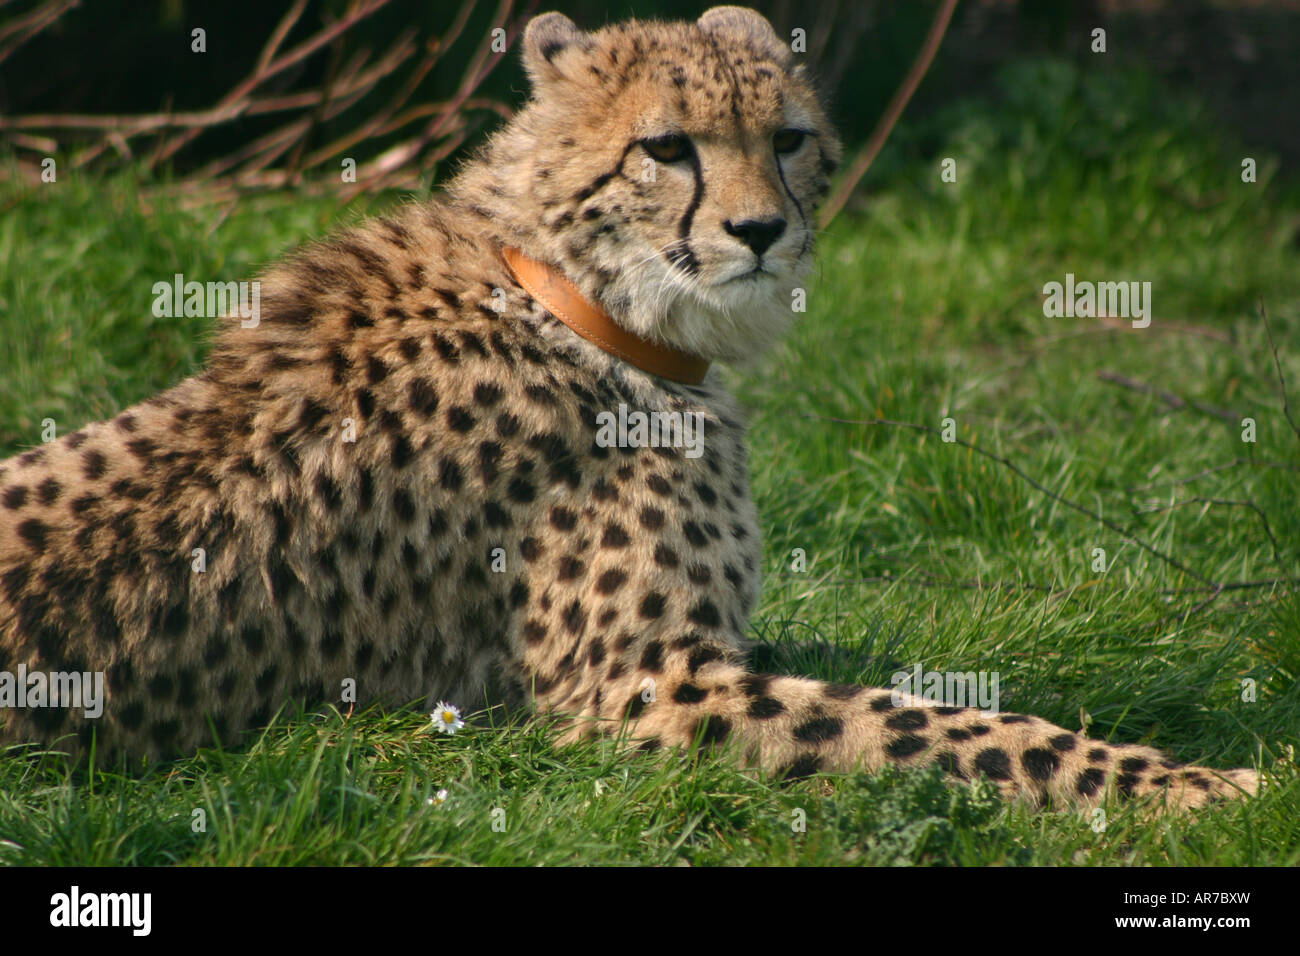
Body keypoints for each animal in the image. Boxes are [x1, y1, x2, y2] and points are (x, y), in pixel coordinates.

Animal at [0, 6, 1259, 812]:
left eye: (788, 140)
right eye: (666, 147)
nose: (760, 230)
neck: (589, 302)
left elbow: (907, 673)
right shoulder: (642, 683)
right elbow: (929, 723)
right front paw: (1194, 784)